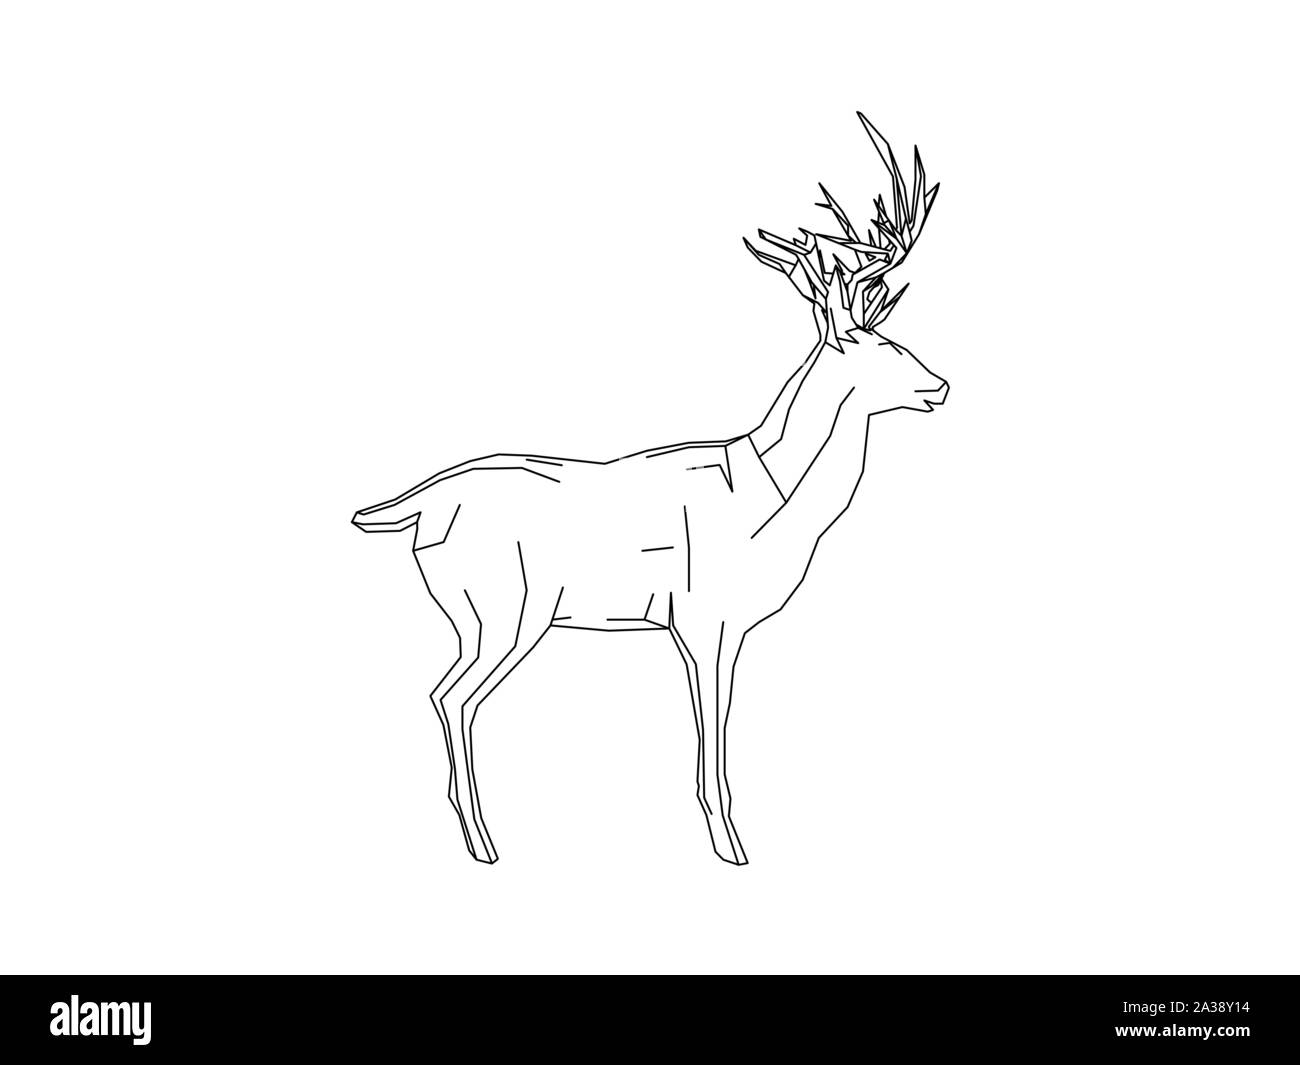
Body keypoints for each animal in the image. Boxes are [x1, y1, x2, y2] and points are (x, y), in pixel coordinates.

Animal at [353, 113, 947, 865]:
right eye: (885, 348)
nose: (941, 385)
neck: (769, 501)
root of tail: (421, 505)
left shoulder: (717, 625)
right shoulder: (701, 616)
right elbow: (711, 738)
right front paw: (733, 849)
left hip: (473, 613)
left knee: (439, 692)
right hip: (504, 607)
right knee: (453, 698)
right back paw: (486, 844)